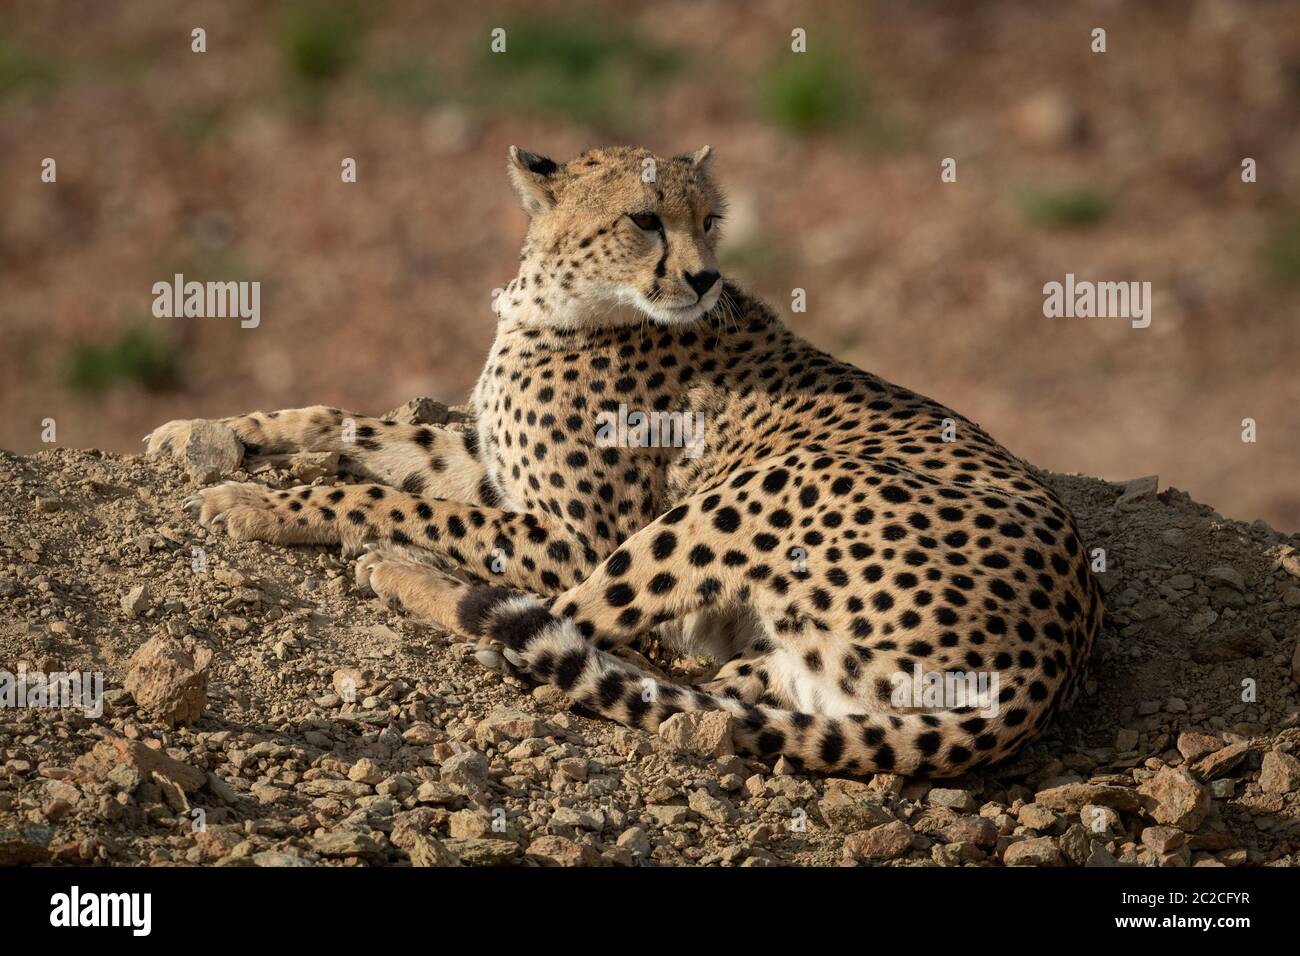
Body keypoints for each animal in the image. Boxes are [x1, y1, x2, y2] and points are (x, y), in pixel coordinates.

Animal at [146, 144, 1102, 777]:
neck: (562, 305)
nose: (705, 277)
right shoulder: (484, 459)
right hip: (797, 666)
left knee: (543, 633)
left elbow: (403, 502)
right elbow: (357, 430)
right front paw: (211, 431)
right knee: (678, 680)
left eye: (709, 221)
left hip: (763, 485)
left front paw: (264, 505)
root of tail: (1041, 676)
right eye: (645, 220)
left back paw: (403, 573)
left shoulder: (569, 536)